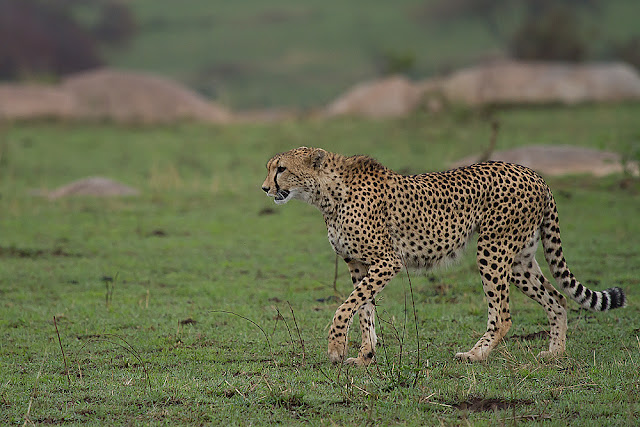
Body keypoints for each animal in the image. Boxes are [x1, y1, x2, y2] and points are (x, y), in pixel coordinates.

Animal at [261, 147, 626, 365]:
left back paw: (476, 355)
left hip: (492, 249)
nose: (265, 188)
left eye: (281, 169)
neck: (326, 194)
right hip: (520, 258)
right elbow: (363, 310)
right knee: (557, 298)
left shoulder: (387, 261)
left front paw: (336, 347)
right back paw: (555, 353)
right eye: (270, 169)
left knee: (503, 314)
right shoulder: (359, 265)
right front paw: (366, 355)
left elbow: (345, 306)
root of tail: (533, 173)